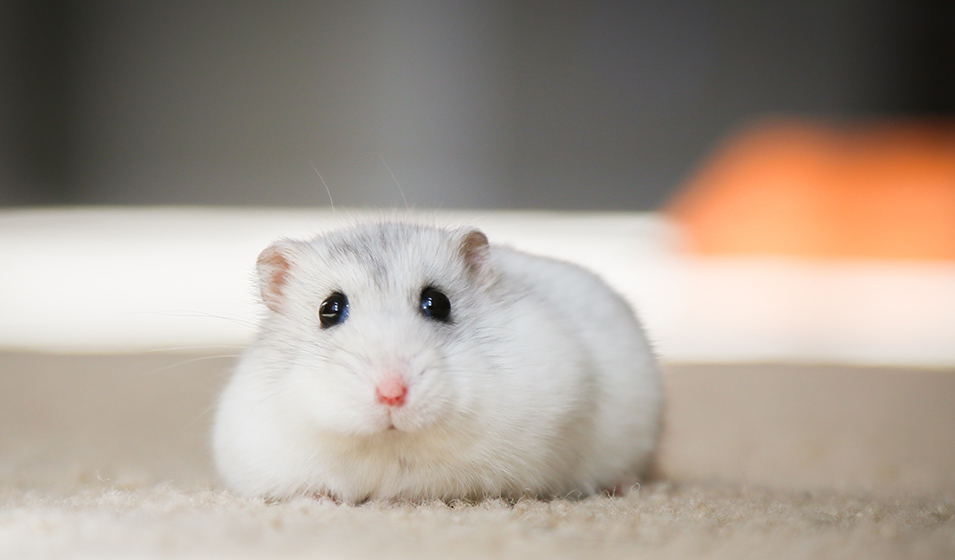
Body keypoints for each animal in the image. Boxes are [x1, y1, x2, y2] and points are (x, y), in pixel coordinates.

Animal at [212, 222, 662, 503]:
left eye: (438, 303)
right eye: (329, 310)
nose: (392, 394)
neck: (390, 442)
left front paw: (391, 501)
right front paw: (317, 503)